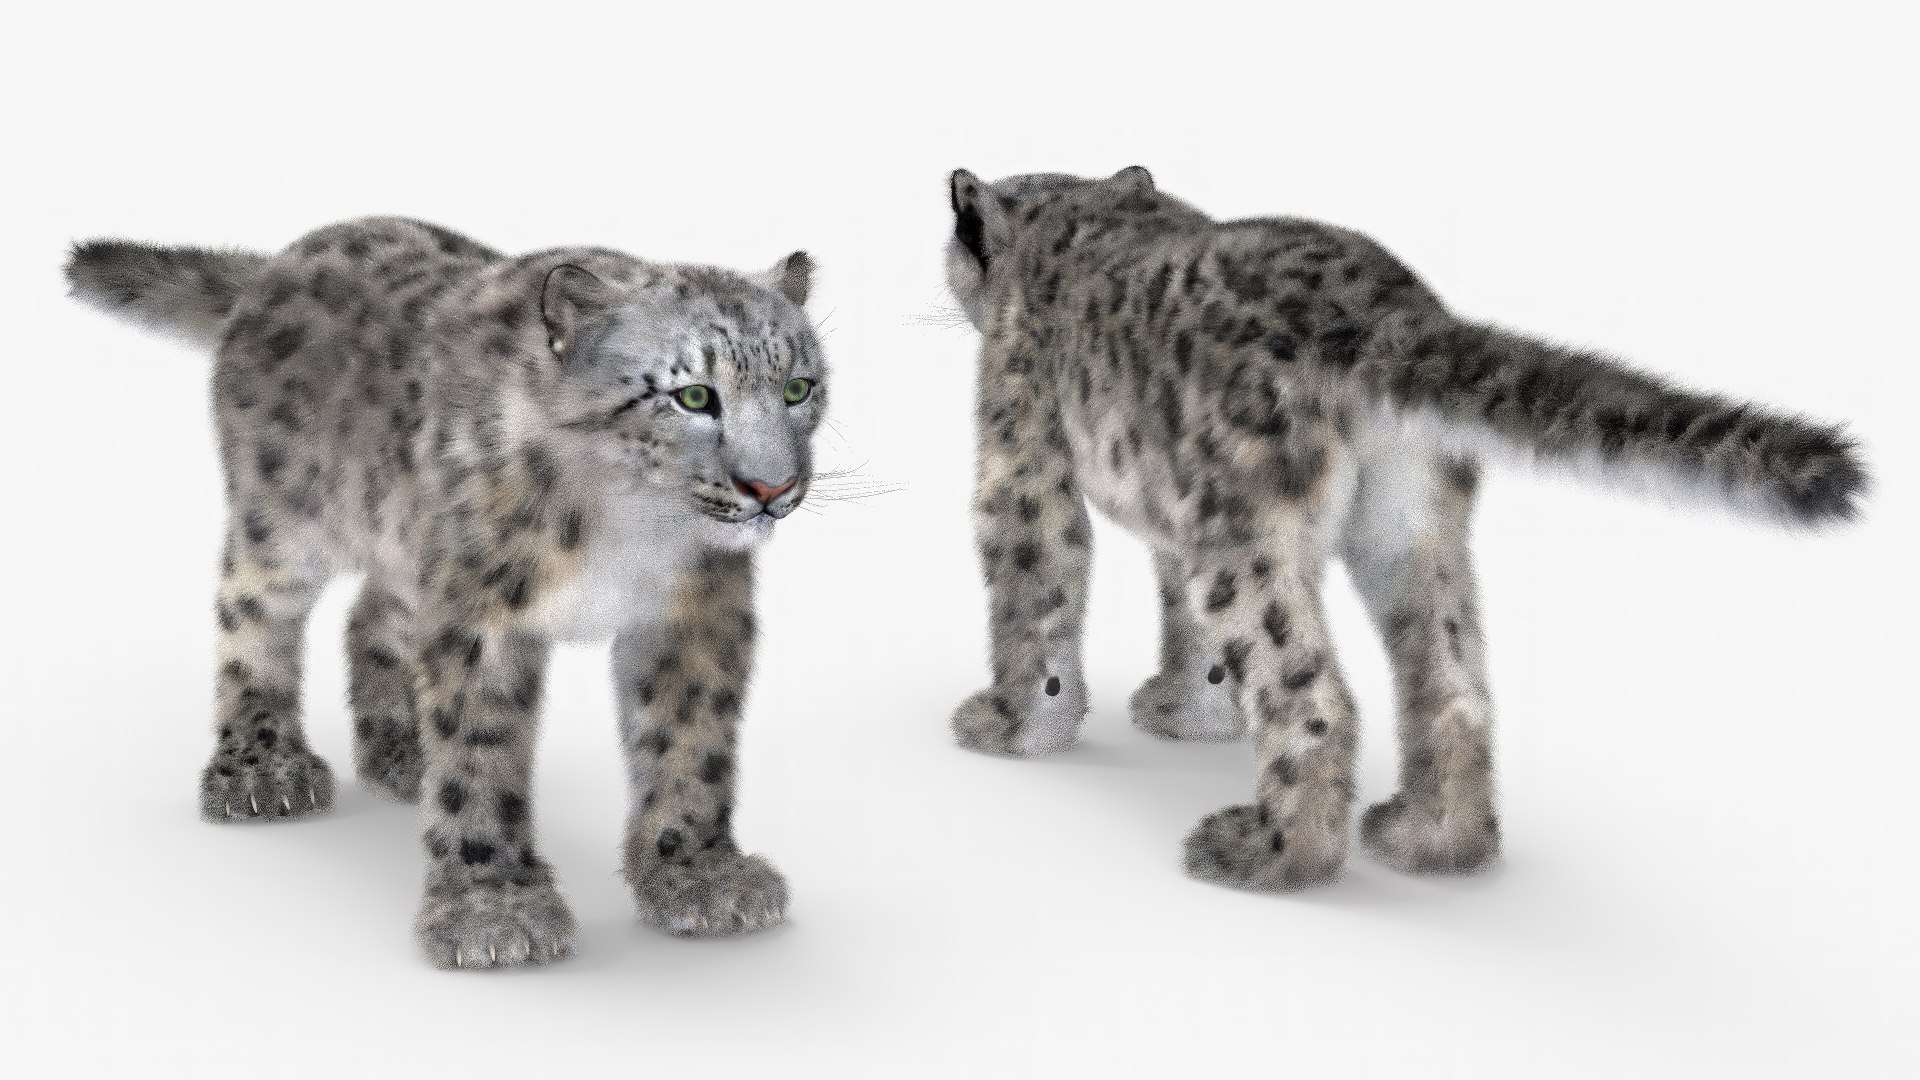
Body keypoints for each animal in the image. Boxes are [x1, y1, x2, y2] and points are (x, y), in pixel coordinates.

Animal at [66, 216, 826, 967]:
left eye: (799, 388)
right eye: (693, 395)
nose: (772, 487)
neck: (634, 528)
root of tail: (280, 261)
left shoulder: (695, 613)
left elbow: (691, 740)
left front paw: (700, 875)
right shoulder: (481, 613)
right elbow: (480, 752)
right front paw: (495, 910)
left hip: (408, 549)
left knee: (370, 616)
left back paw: (402, 752)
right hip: (281, 524)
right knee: (248, 616)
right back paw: (263, 770)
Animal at [941, 166, 1868, 891]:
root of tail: (1384, 311)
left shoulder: (1023, 455)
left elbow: (1034, 580)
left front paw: (1010, 724)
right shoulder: (1169, 511)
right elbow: (1187, 630)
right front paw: (1186, 708)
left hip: (1243, 542)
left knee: (1313, 698)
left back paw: (1268, 854)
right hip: (1412, 532)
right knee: (1453, 688)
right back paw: (1434, 840)